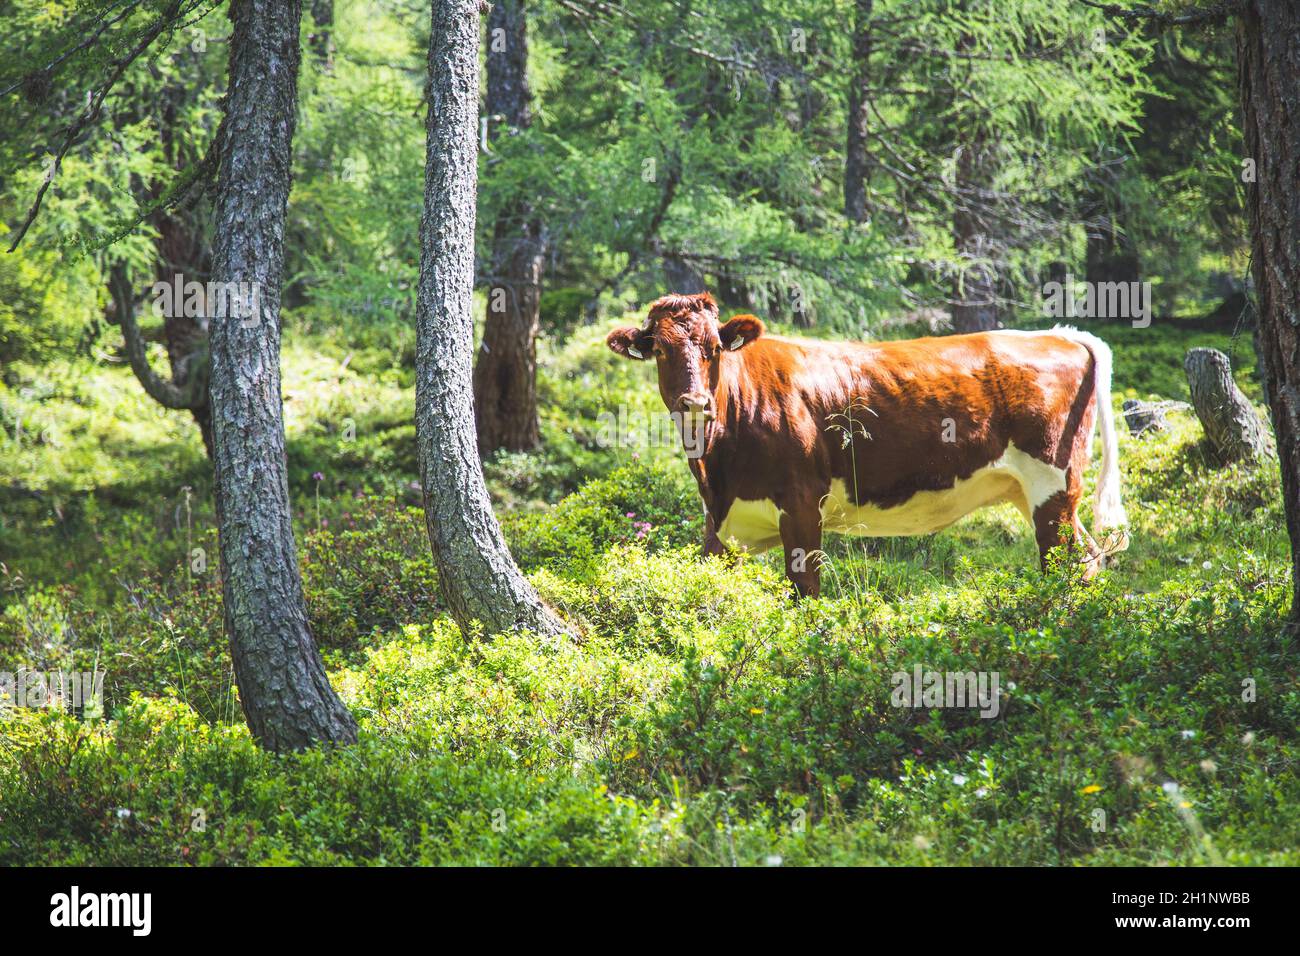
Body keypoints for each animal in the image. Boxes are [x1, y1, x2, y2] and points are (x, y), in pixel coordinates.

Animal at [607, 292, 1129, 598]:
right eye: (661, 350)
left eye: (714, 348)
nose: (695, 401)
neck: (717, 468)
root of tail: (1060, 335)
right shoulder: (721, 525)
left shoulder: (802, 503)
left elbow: (805, 590)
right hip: (1035, 492)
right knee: (1088, 558)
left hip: (1052, 479)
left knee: (1063, 563)